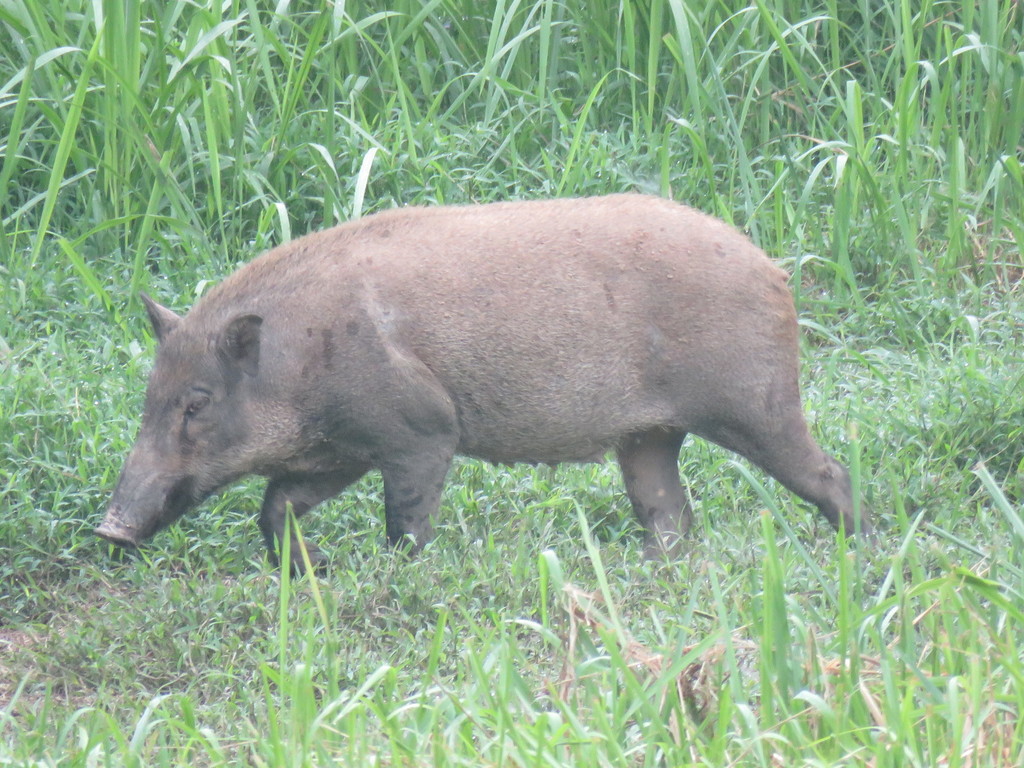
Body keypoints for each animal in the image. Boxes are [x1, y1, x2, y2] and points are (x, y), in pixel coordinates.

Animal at [95, 194, 870, 571]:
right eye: (148, 397)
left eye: (197, 402)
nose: (110, 529)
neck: (298, 365)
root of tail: (773, 268)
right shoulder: (339, 452)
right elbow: (274, 506)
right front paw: (313, 574)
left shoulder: (421, 431)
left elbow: (404, 521)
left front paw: (401, 575)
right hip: (650, 436)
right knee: (672, 514)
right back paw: (651, 567)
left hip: (756, 404)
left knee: (827, 471)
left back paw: (859, 547)